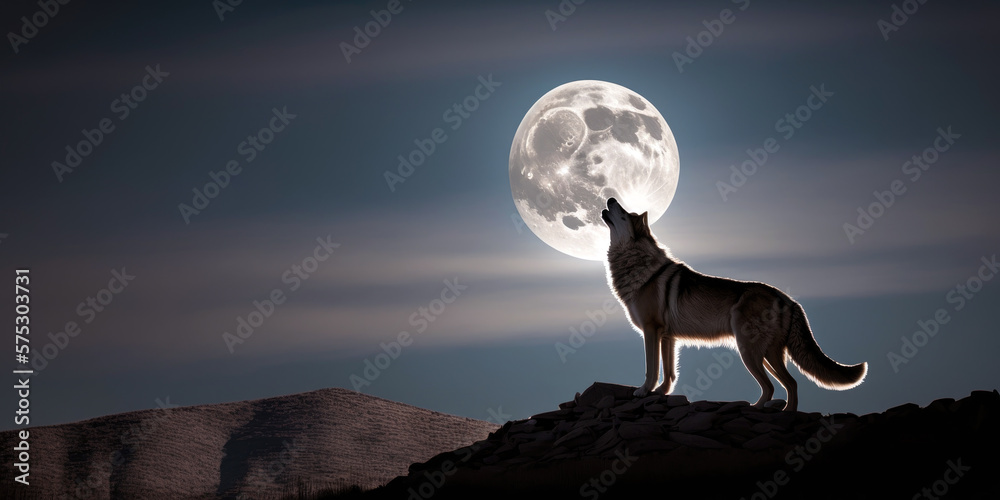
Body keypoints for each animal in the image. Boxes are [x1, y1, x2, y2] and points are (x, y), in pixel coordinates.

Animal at [602, 198, 867, 411]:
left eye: (623, 212)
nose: (611, 198)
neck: (640, 266)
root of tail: (789, 299)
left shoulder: (651, 331)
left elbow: (651, 368)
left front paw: (643, 391)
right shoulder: (668, 337)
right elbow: (668, 373)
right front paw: (660, 393)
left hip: (750, 353)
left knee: (777, 386)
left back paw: (765, 409)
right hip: (767, 355)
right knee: (789, 383)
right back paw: (781, 410)